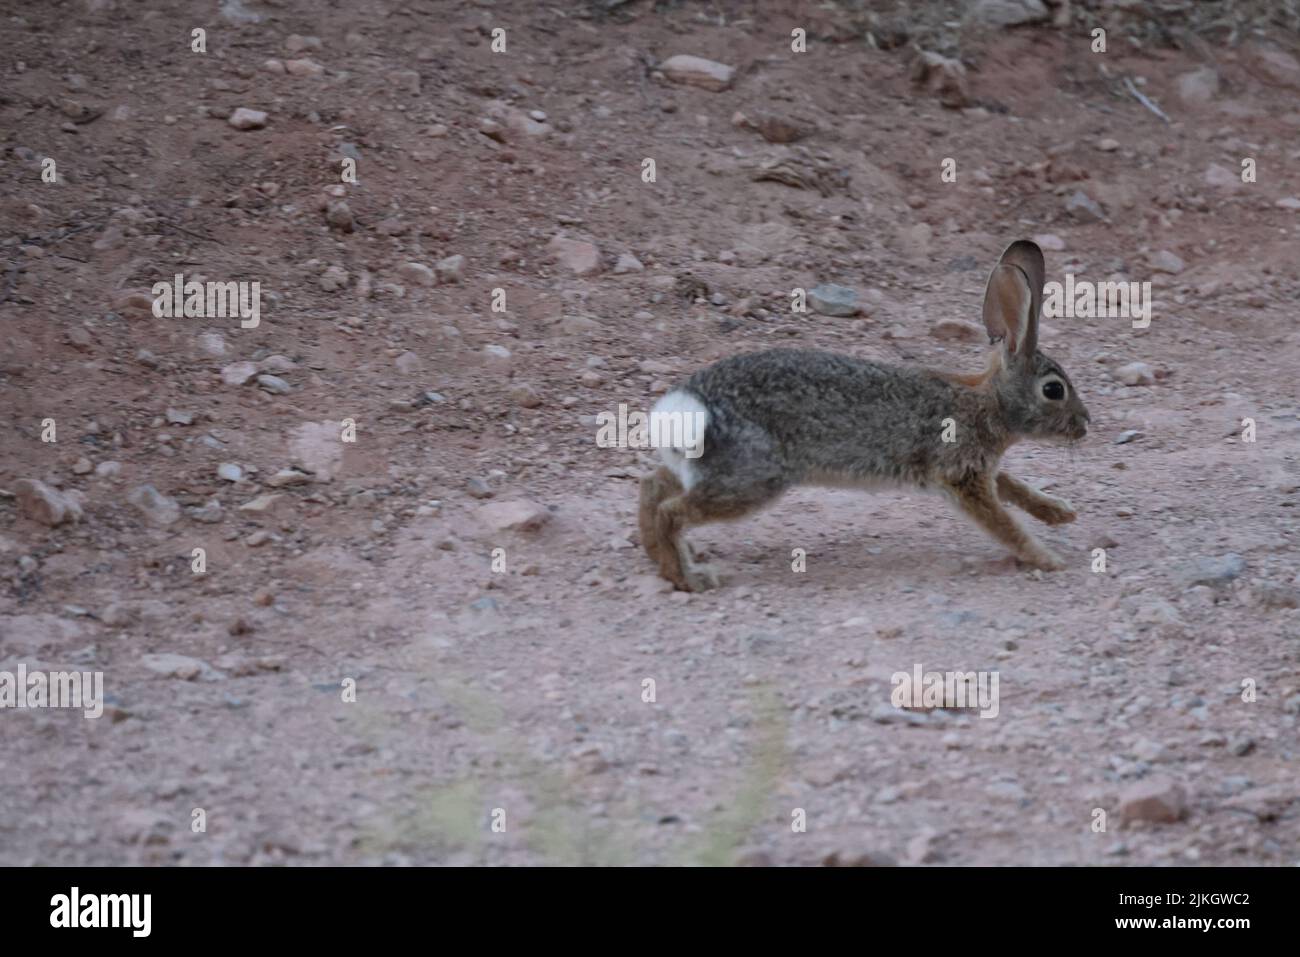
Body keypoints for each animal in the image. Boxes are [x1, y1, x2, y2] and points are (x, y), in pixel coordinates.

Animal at [638, 239, 1089, 591]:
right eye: (1054, 390)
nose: (1085, 425)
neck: (990, 403)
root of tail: (684, 408)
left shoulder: (981, 469)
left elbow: (1012, 485)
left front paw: (1058, 512)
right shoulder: (961, 476)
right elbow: (1003, 523)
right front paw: (1047, 559)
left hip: (706, 467)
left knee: (653, 486)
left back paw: (666, 556)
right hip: (751, 478)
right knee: (671, 510)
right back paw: (688, 578)